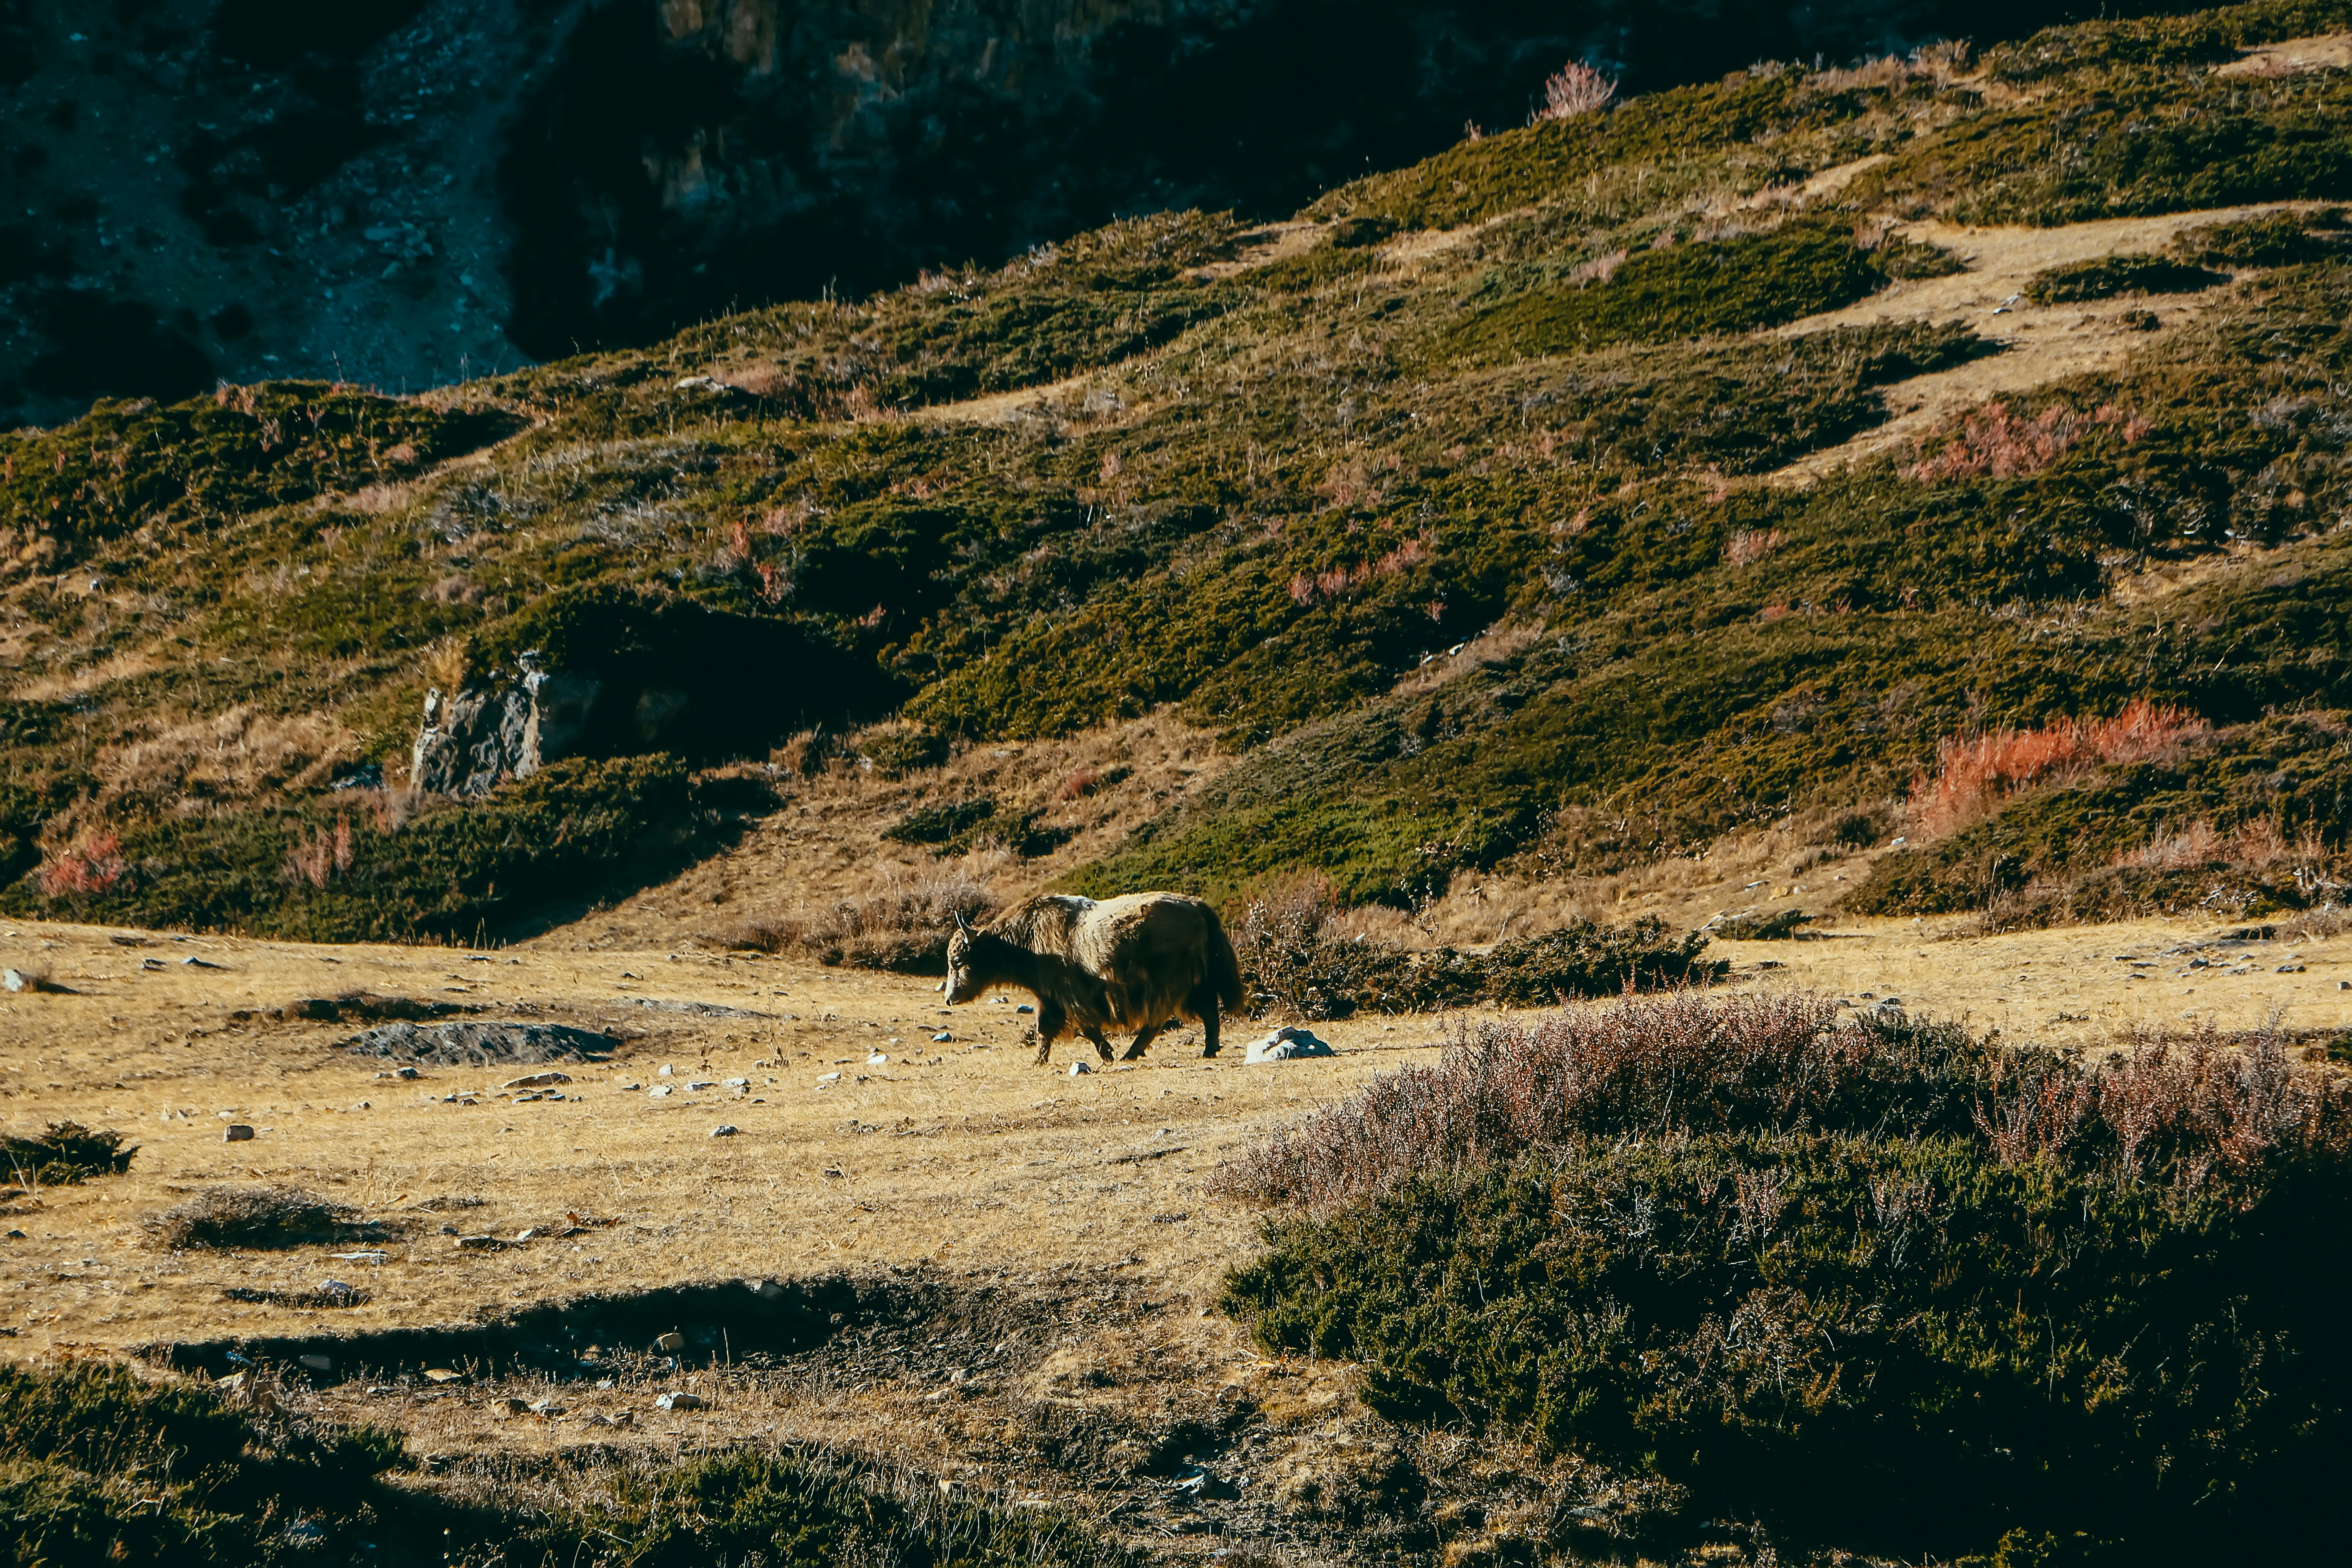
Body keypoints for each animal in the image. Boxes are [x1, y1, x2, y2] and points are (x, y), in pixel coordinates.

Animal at [945, 892, 1245, 1065]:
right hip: (1197, 980)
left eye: (958, 962)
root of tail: (1199, 907)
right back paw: (1209, 1049)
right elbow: (1044, 1029)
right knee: (1208, 1009)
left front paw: (1107, 1054)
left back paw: (1131, 1053)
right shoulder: (1050, 995)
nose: (949, 999)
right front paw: (1038, 1062)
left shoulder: (1070, 992)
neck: (1026, 942)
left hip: (1169, 980)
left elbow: (1087, 1027)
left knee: (1158, 1019)